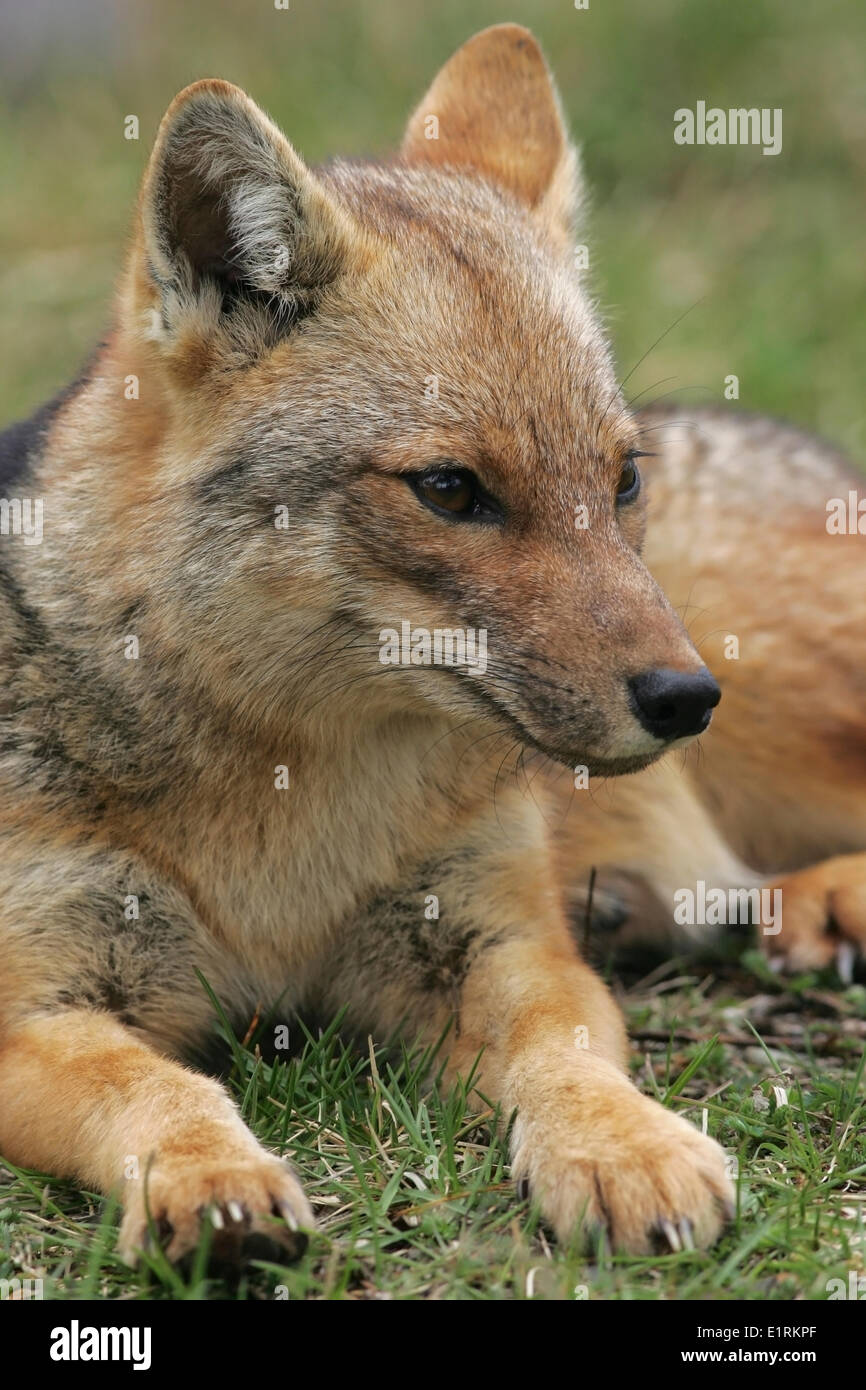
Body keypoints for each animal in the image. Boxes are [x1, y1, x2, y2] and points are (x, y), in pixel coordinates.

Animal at [0, 23, 863, 1271]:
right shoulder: (35, 1005)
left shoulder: (514, 951)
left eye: (619, 479)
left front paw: (623, 1149)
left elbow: (563, 1063)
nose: (680, 697)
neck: (289, 819)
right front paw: (208, 1176)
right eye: (452, 490)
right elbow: (157, 1088)